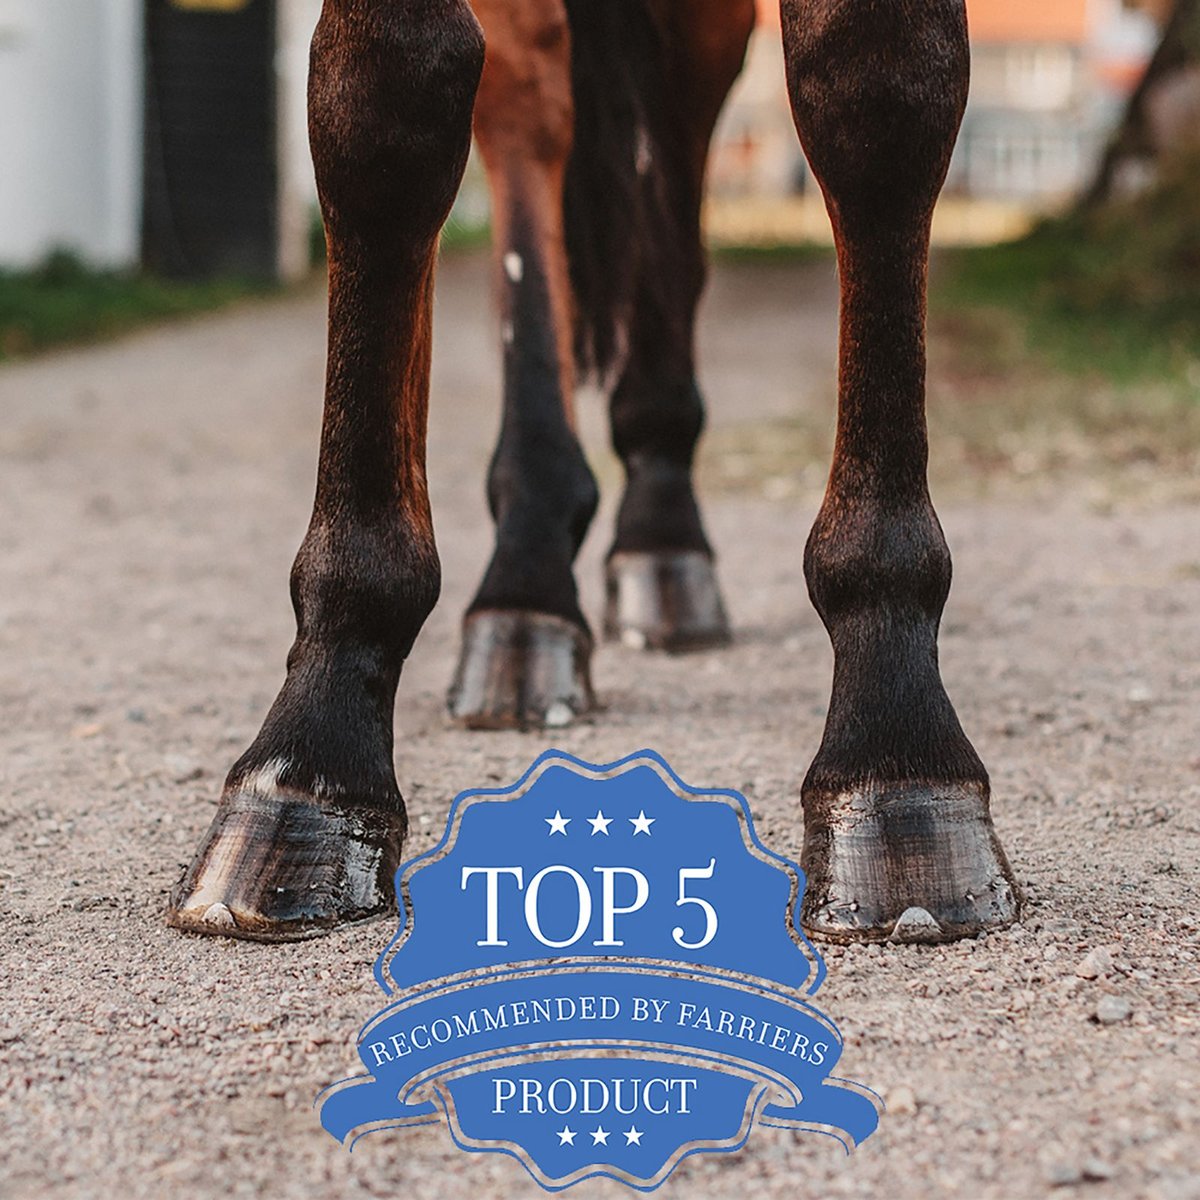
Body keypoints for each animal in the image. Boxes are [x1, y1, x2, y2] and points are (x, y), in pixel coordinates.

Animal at [166, 0, 1020, 947]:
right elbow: (381, 100)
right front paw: (313, 750)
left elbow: (879, 84)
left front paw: (896, 753)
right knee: (530, 112)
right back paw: (526, 588)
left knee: (678, 135)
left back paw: (661, 541)